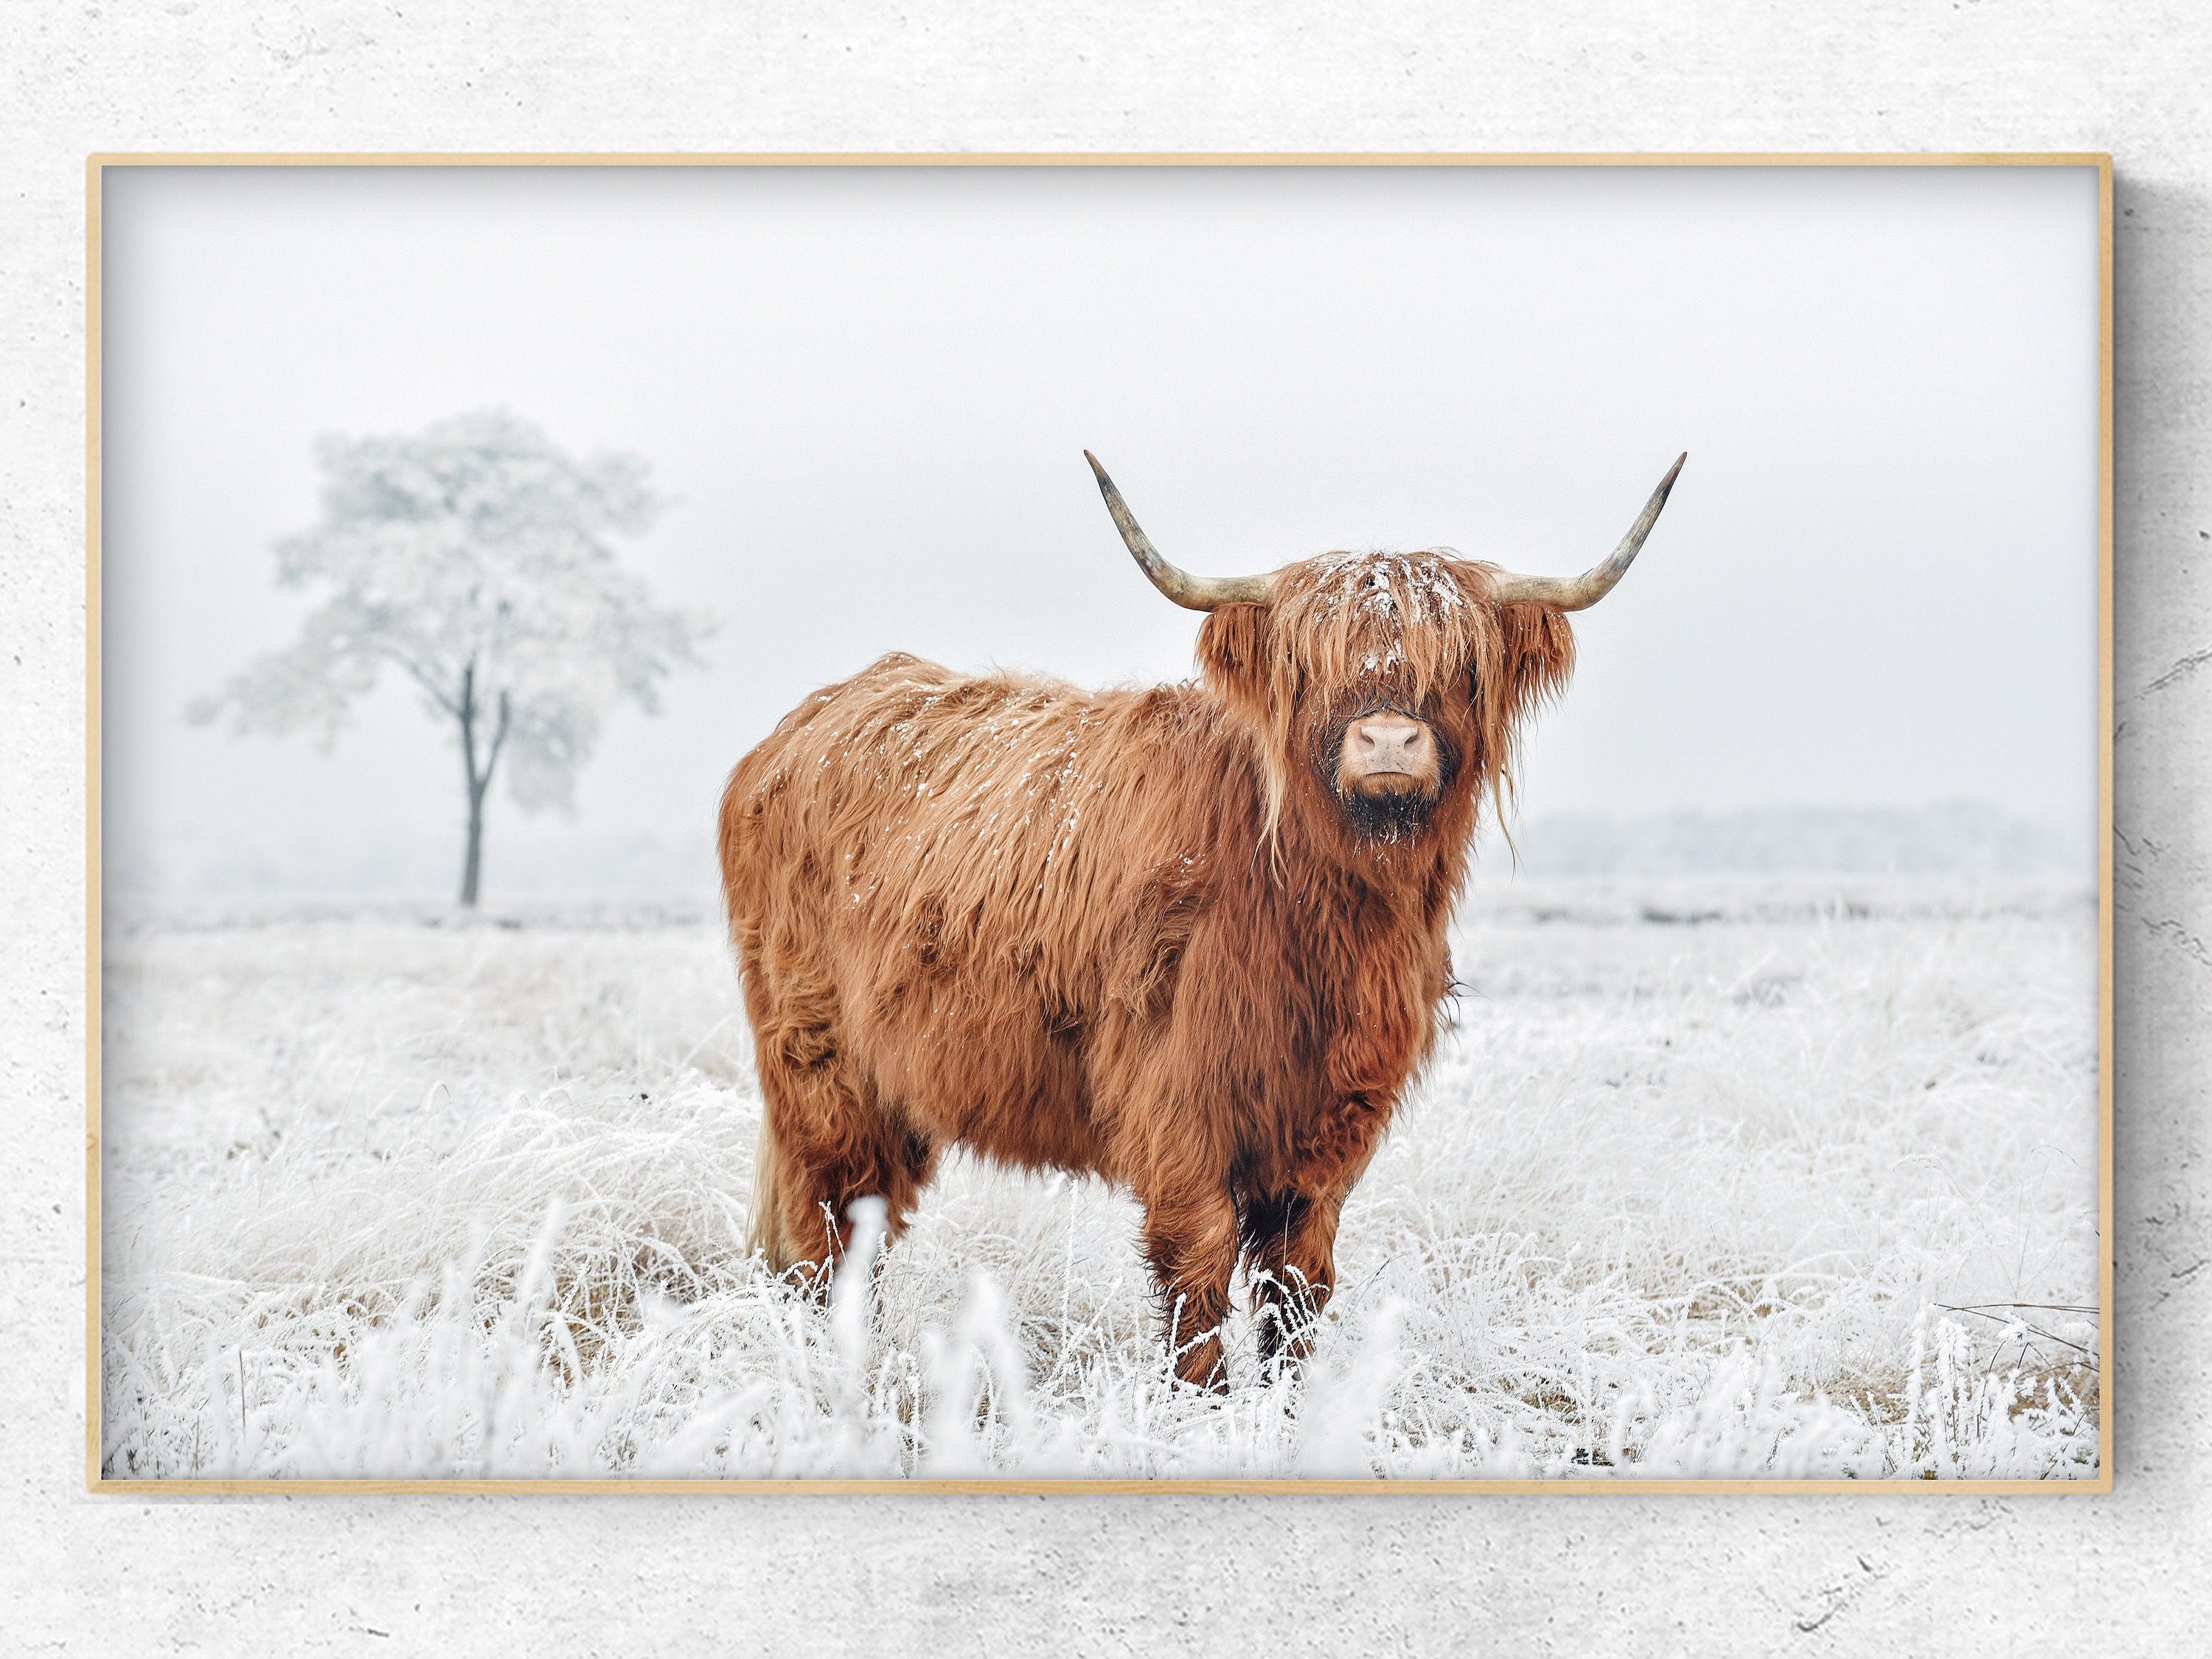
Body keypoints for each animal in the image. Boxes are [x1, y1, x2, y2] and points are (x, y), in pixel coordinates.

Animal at [719, 450, 1684, 1389]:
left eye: (1458, 666)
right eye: (1310, 667)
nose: (1387, 742)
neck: (1326, 920)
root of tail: (800, 727)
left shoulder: (1331, 1126)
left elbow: (1299, 1284)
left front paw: (1295, 1405)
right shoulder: (1178, 1103)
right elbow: (1199, 1272)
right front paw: (1203, 1406)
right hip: (818, 1068)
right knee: (828, 1228)